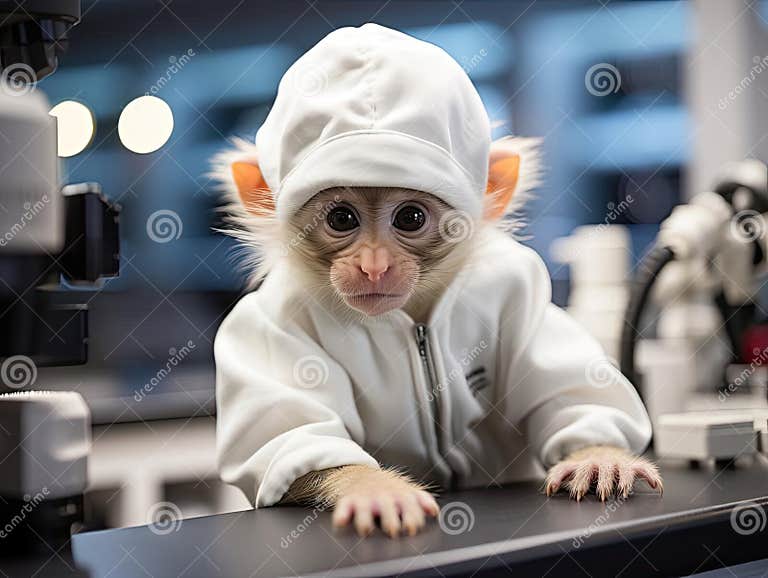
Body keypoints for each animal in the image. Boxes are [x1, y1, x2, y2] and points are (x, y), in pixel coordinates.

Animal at [212, 23, 661, 540]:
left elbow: (567, 388)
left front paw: (599, 453)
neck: (413, 322)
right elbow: (292, 434)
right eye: (342, 218)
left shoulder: (520, 289)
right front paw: (372, 486)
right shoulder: (271, 321)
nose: (373, 265)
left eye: (410, 217)